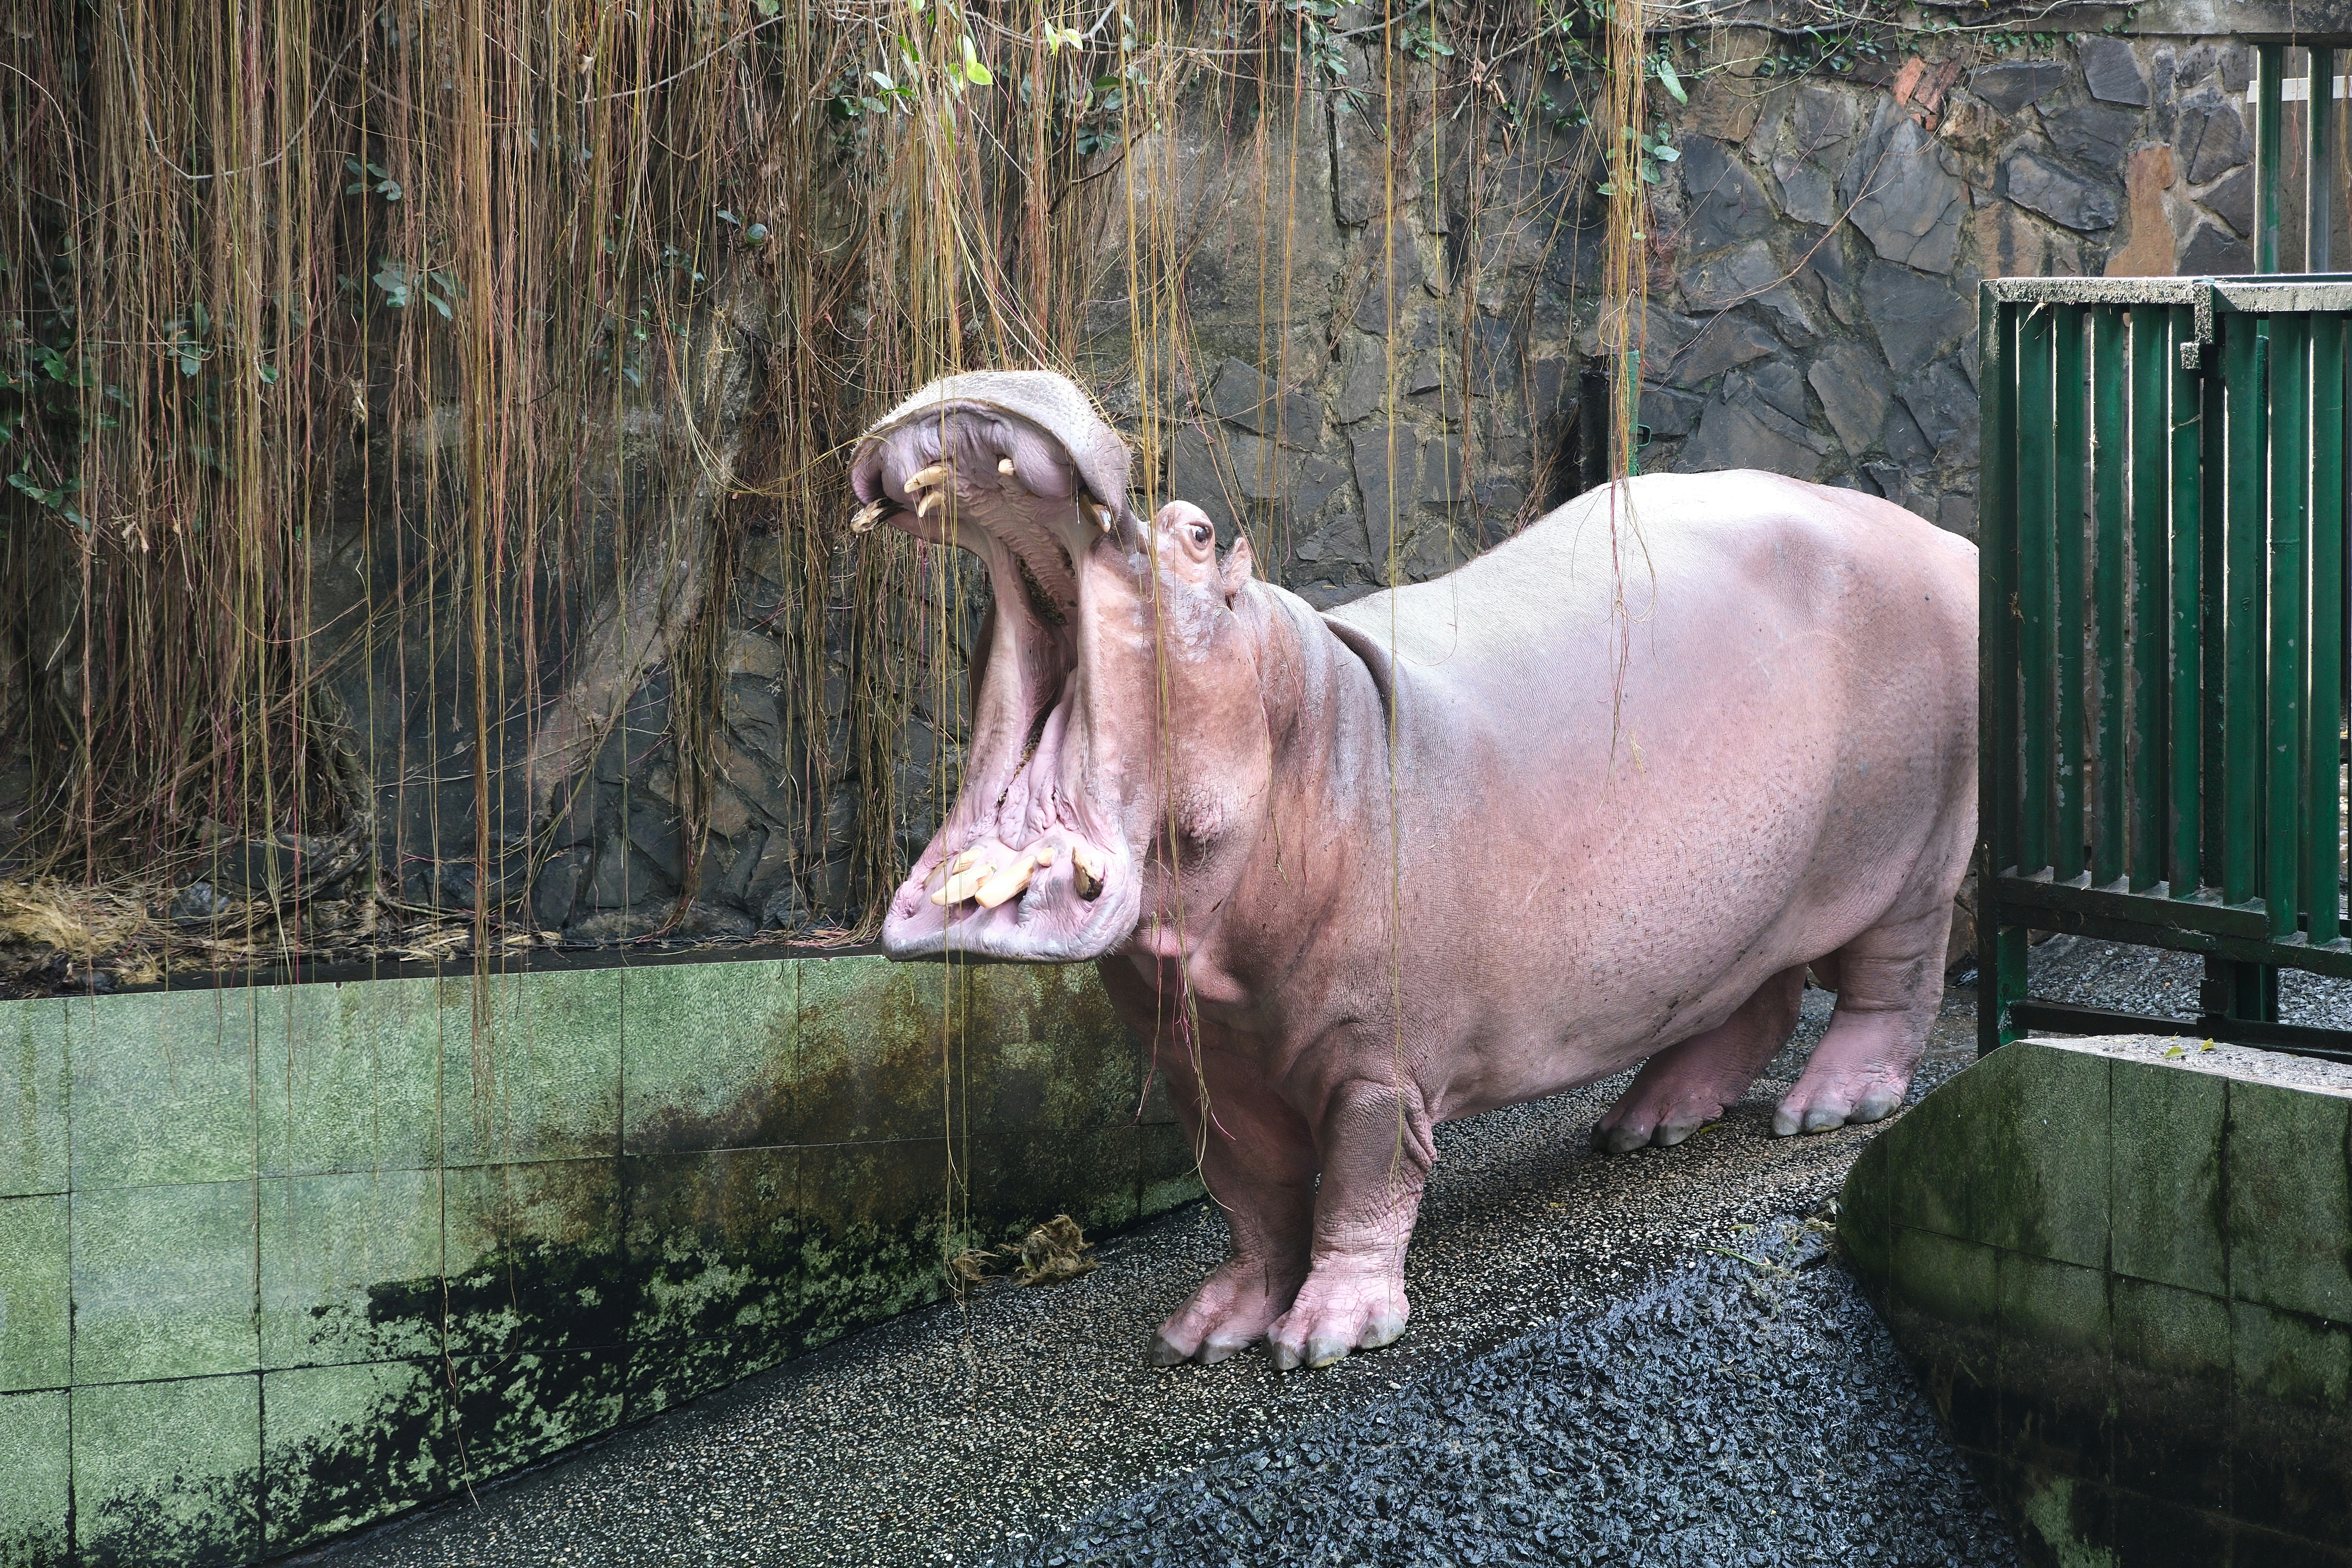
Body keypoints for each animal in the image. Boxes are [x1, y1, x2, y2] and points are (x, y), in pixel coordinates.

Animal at [850, 371, 1977, 1371]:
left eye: (1198, 534)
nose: (991, 376)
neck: (1303, 716)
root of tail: (1941, 538)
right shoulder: (1197, 1066)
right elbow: (1249, 1196)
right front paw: (1204, 1334)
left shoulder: (1375, 1056)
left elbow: (1360, 1179)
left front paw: (1325, 1339)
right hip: (1739, 907)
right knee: (1754, 997)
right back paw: (1644, 1125)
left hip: (1913, 853)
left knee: (1892, 983)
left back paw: (1827, 1110)